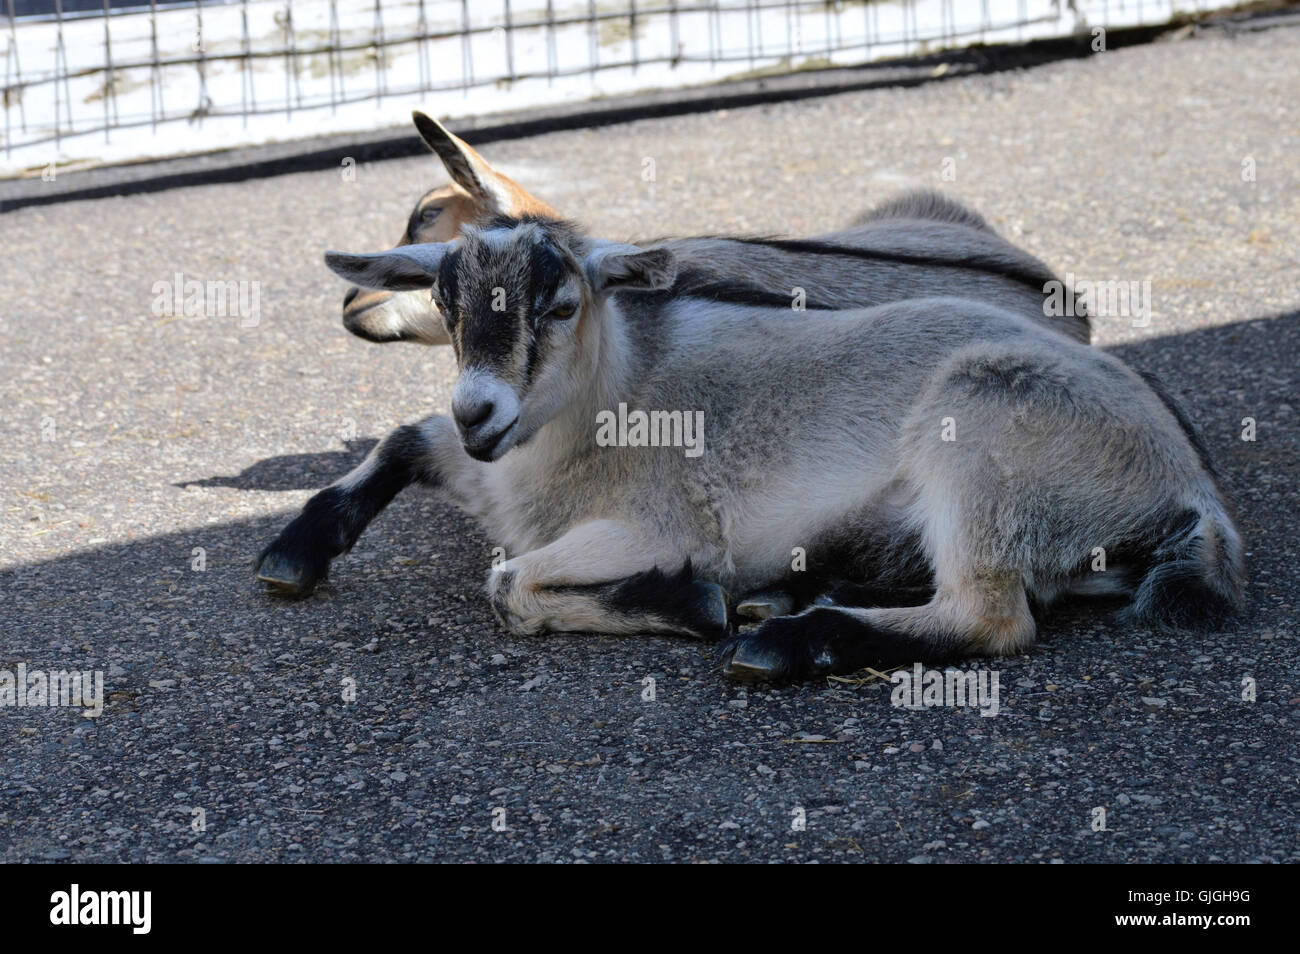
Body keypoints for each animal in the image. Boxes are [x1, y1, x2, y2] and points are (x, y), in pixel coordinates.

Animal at [257, 215, 1243, 683]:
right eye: (446, 304)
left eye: (562, 303)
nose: (477, 411)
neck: (614, 395)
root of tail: (1193, 491)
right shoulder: (481, 467)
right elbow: (402, 442)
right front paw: (291, 552)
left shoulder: (658, 524)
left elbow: (508, 586)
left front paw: (690, 603)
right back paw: (797, 598)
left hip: (983, 440)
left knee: (991, 615)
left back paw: (788, 639)